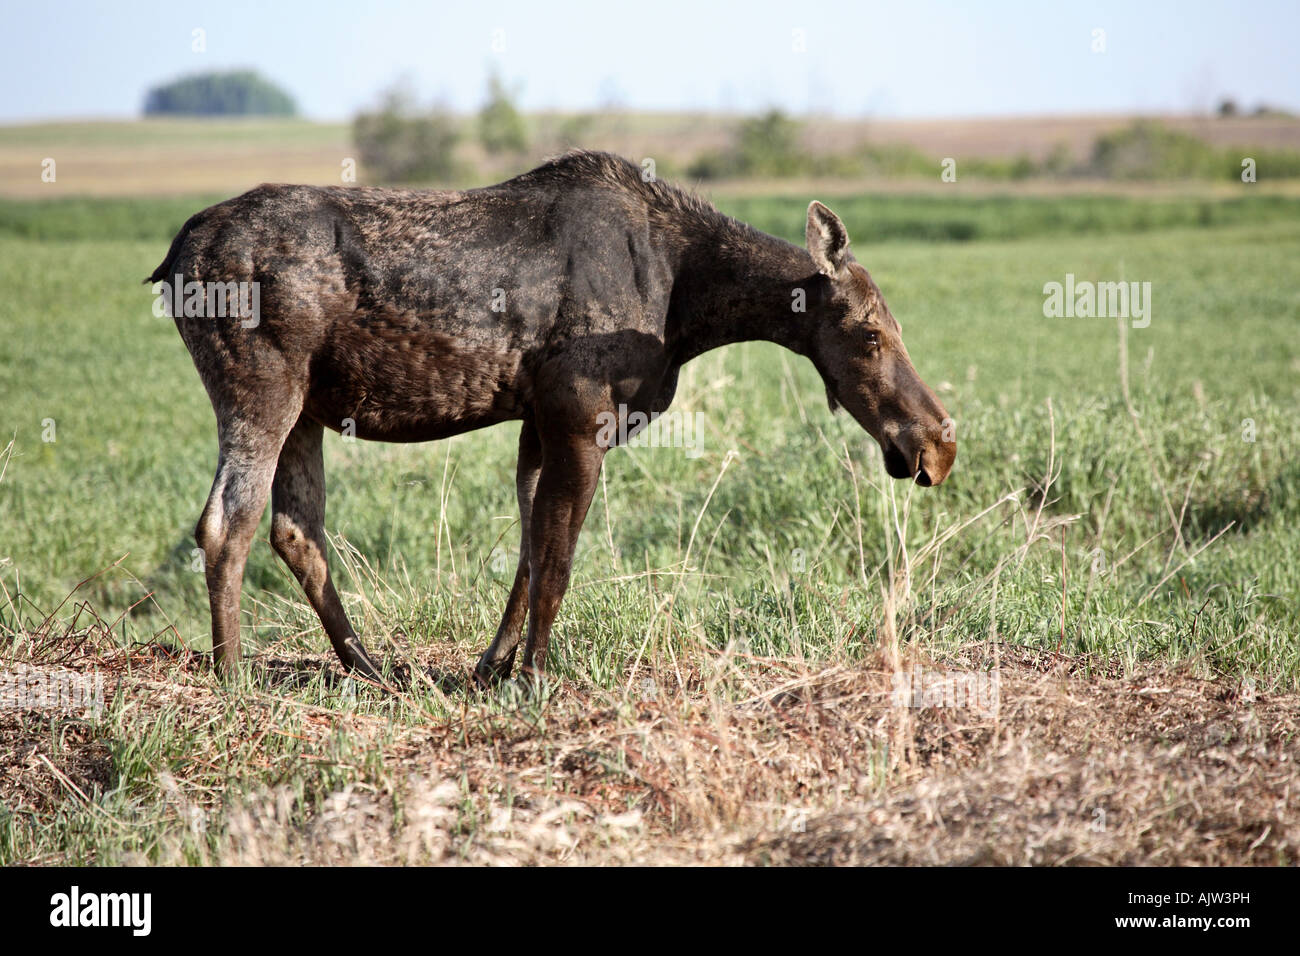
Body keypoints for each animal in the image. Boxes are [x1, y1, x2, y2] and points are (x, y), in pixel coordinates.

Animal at [149, 151, 955, 687]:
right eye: (869, 333)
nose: (936, 445)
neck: (690, 308)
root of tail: (172, 255)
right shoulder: (578, 412)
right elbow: (559, 559)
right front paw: (536, 675)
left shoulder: (537, 418)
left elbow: (530, 550)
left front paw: (493, 666)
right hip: (262, 385)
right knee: (227, 521)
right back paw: (232, 674)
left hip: (310, 408)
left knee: (296, 529)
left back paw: (370, 666)